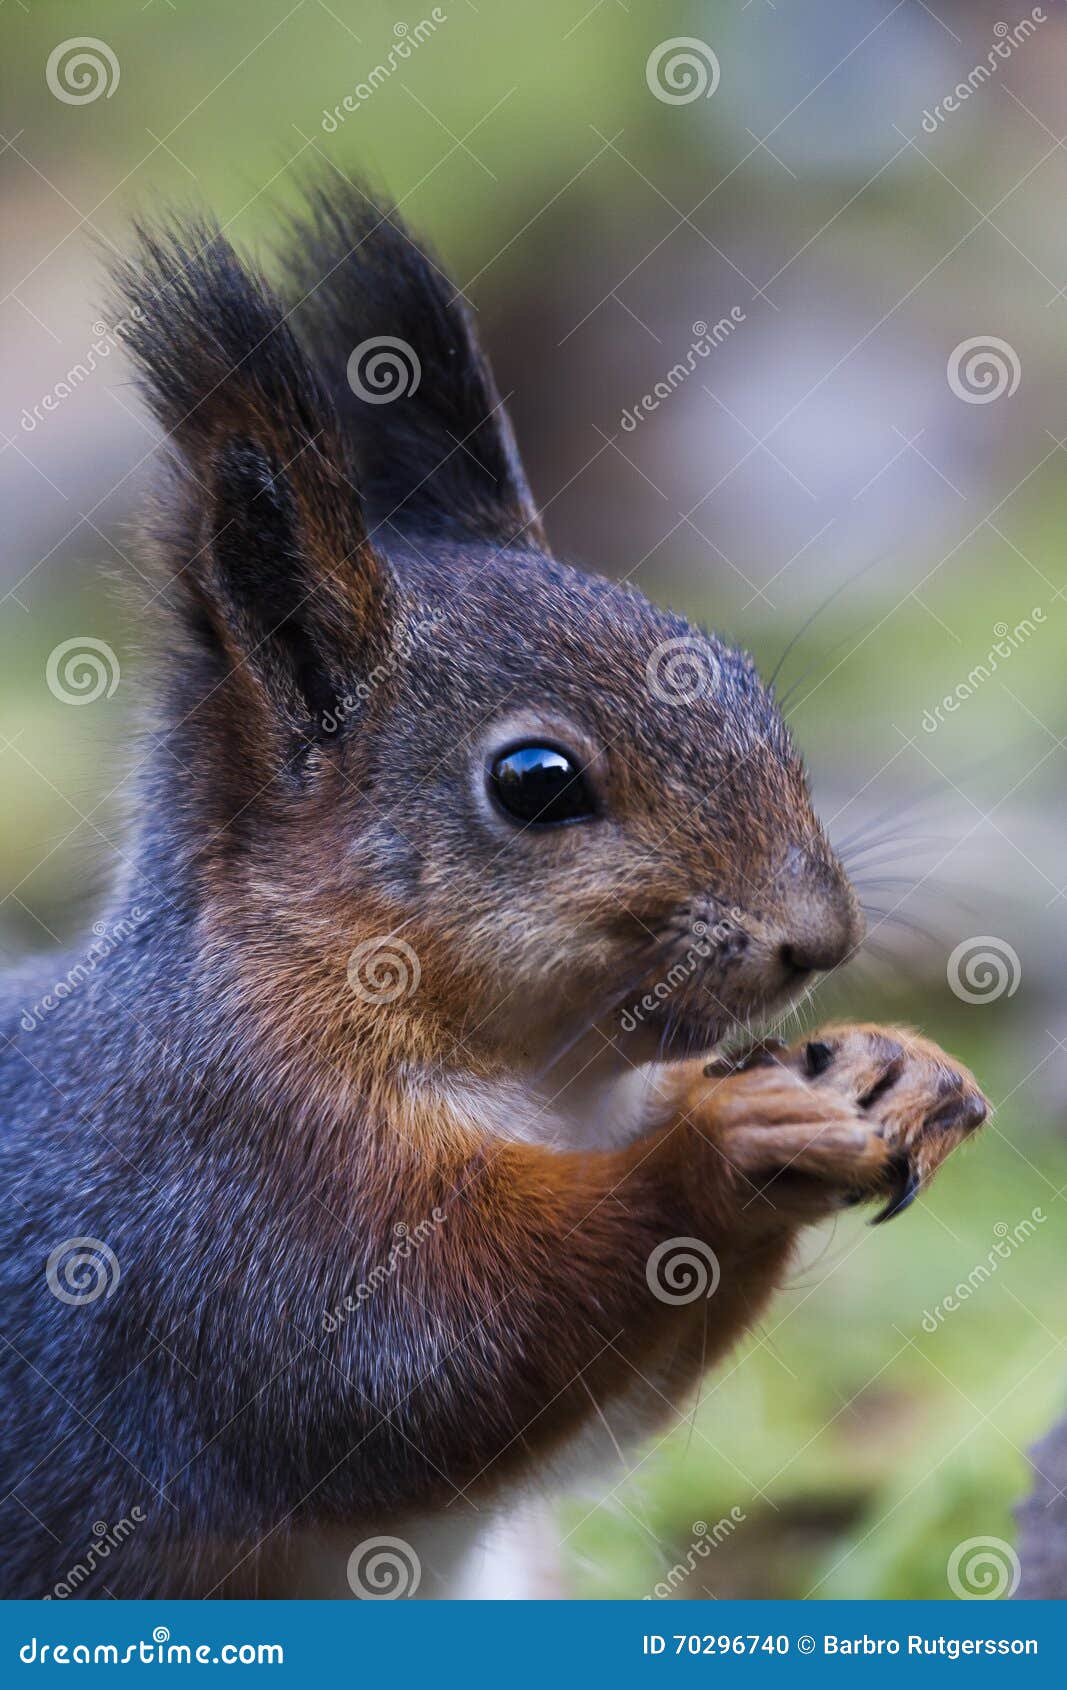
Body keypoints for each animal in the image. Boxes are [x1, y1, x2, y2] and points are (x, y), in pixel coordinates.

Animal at [0, 182, 988, 1600]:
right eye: (533, 781)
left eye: (739, 671)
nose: (822, 936)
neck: (550, 1087)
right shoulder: (216, 1204)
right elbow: (416, 1363)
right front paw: (722, 1144)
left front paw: (896, 1067)